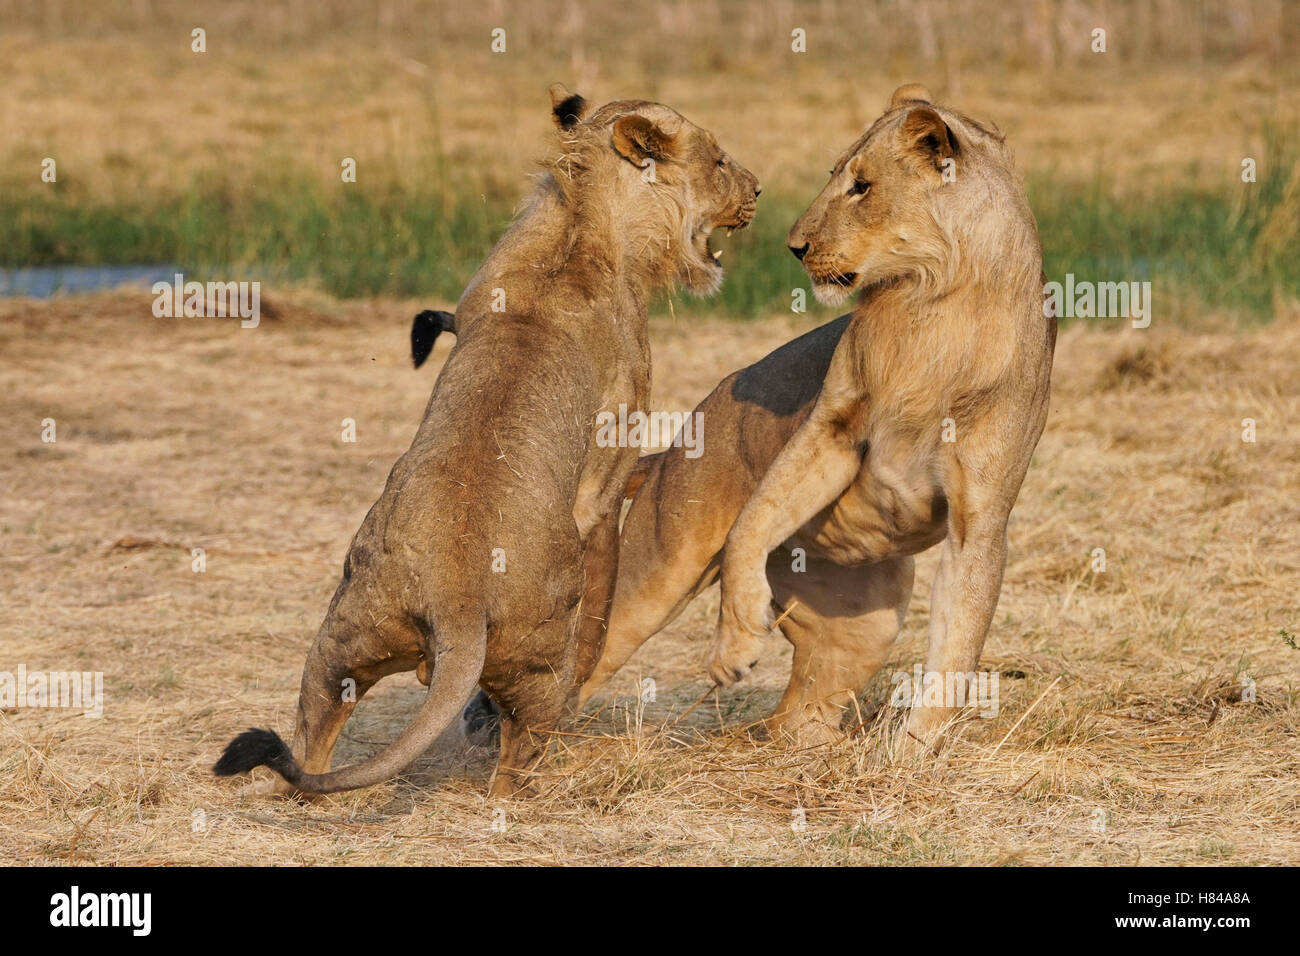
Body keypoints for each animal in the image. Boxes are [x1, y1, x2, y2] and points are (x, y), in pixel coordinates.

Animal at [213, 85, 760, 797]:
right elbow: (603, 586)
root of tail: (458, 602)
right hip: (532, 664)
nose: (759, 188)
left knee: (312, 732)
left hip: (344, 635)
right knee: (520, 748)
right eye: (719, 160)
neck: (579, 225)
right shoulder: (606, 469)